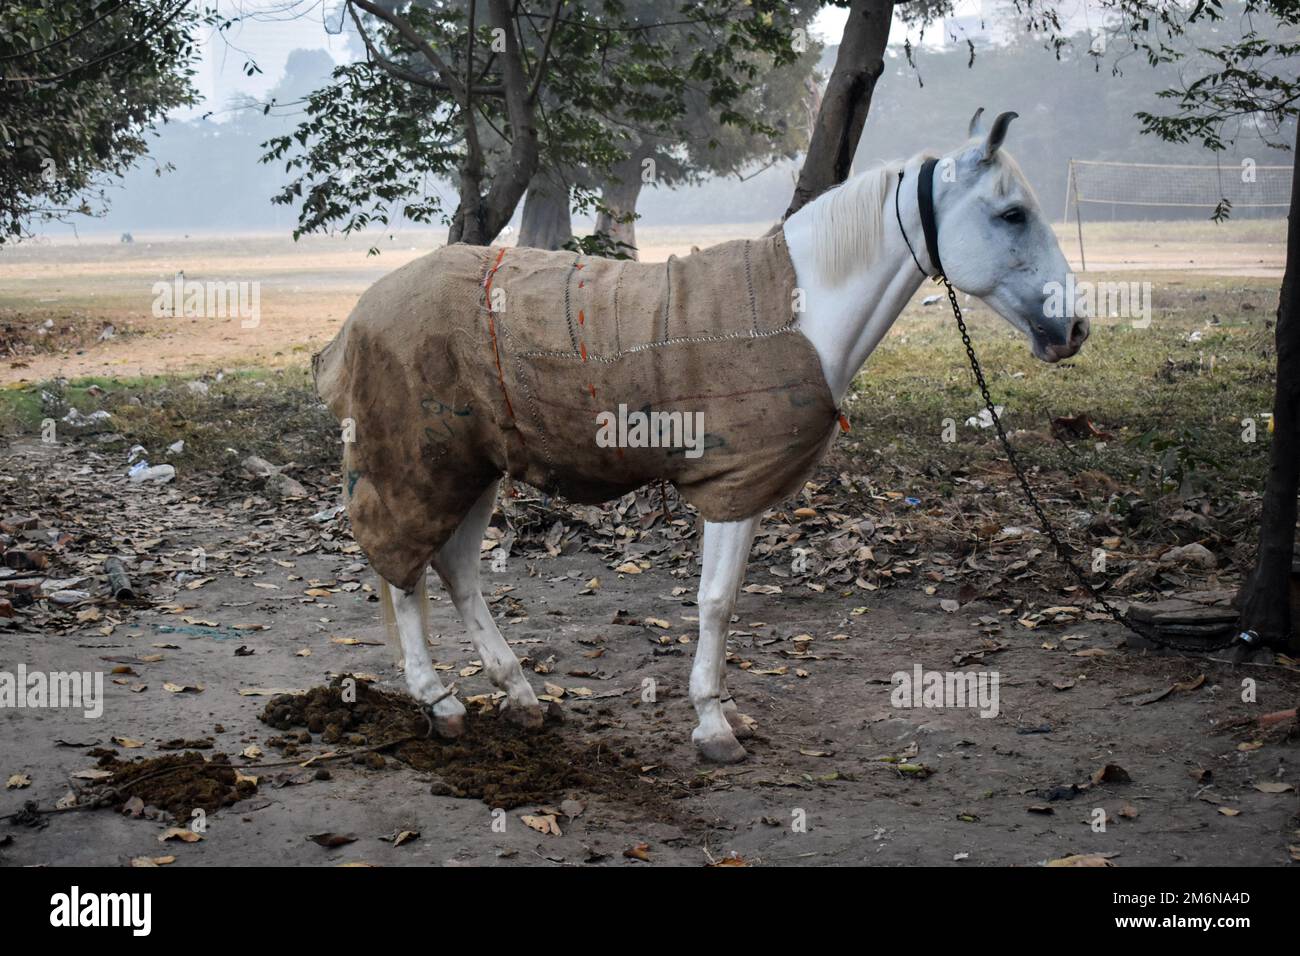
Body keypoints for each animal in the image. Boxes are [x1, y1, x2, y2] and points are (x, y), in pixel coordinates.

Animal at [314, 109, 1086, 763]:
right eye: (1012, 214)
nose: (1074, 327)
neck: (802, 309)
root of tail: (361, 313)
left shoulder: (740, 491)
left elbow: (727, 598)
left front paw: (723, 711)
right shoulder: (733, 489)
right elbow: (717, 604)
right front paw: (713, 725)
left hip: (471, 466)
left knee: (454, 570)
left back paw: (521, 695)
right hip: (419, 464)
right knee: (402, 570)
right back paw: (440, 702)